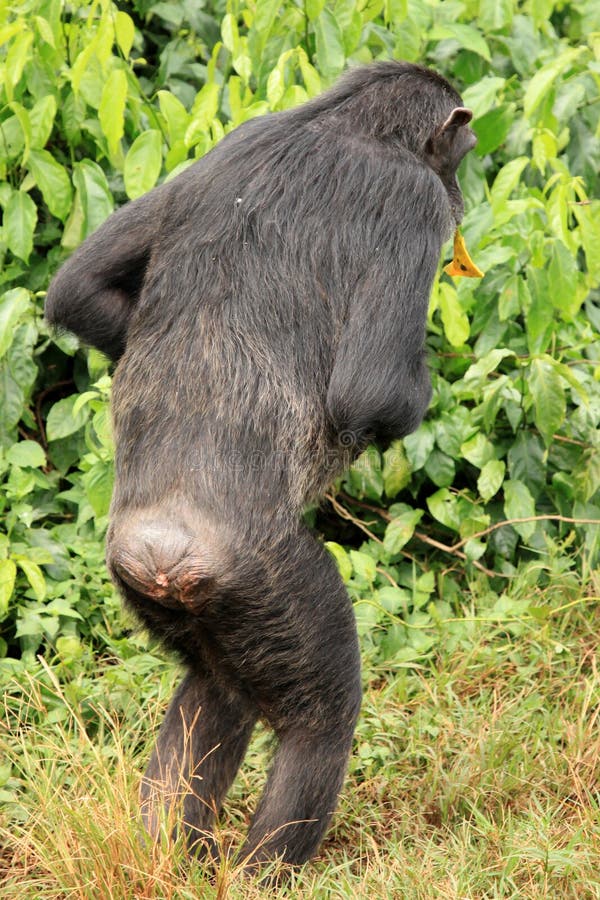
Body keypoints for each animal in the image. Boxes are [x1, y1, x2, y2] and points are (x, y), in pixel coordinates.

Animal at [45, 61, 478, 868]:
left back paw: (162, 853)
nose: (465, 187)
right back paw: (268, 867)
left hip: (163, 592)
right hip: (271, 584)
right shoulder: (412, 201)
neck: (342, 122)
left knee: (214, 692)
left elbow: (79, 289)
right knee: (321, 716)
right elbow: (371, 389)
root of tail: (162, 549)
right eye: (459, 152)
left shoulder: (228, 144)